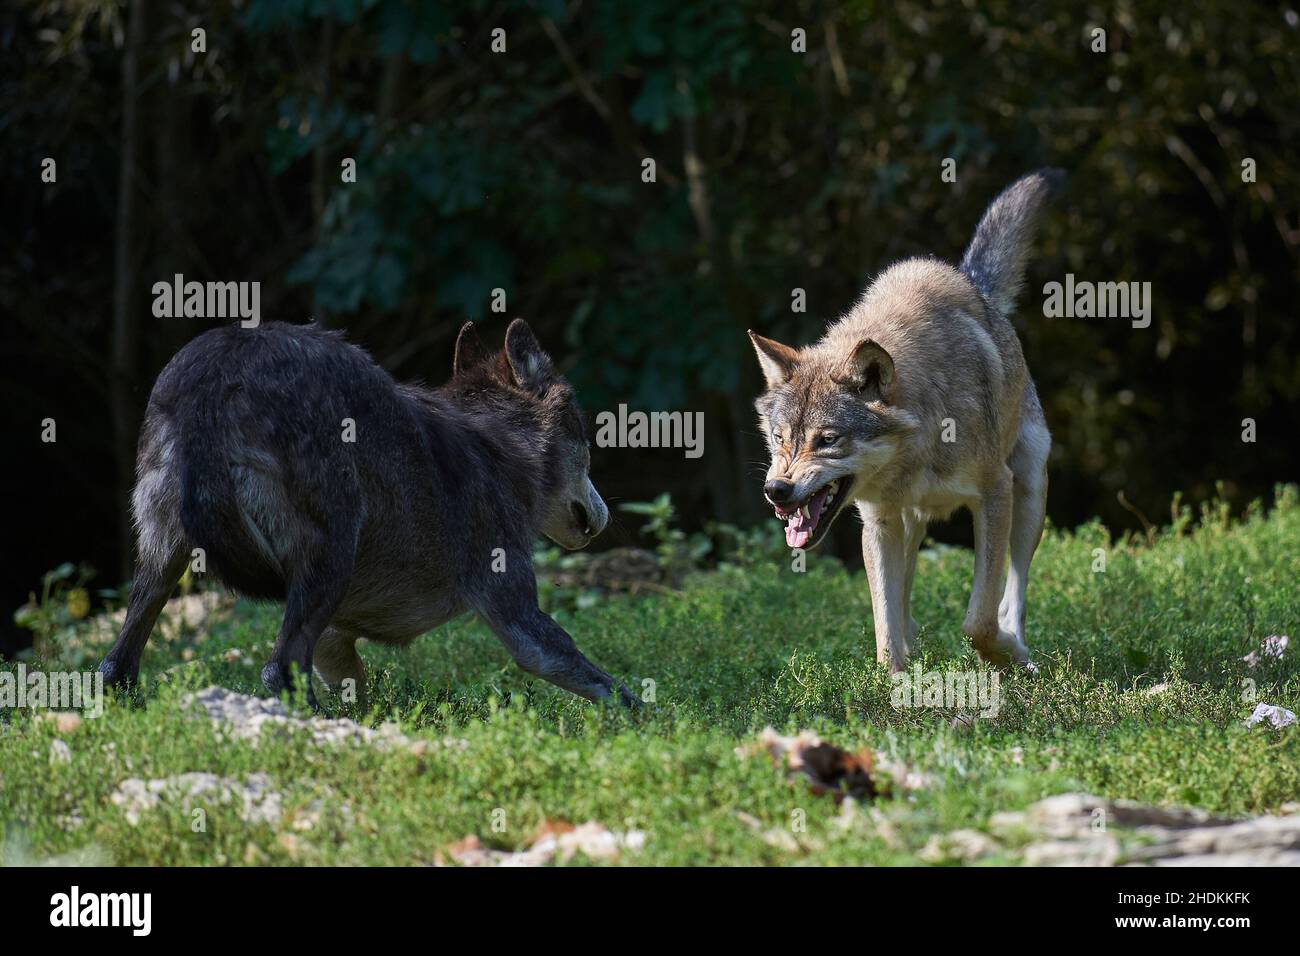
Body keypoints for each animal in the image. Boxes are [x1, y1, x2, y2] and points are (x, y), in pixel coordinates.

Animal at [98, 318, 637, 708]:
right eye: (585, 434)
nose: (604, 515)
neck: (499, 447)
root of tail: (214, 378)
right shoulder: (519, 618)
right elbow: (613, 689)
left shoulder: (336, 637)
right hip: (331, 555)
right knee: (277, 669)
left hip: (162, 567)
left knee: (114, 668)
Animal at [748, 169, 1063, 672]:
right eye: (779, 440)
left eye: (828, 439)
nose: (775, 490)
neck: (923, 434)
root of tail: (974, 280)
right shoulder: (877, 522)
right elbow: (884, 632)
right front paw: (897, 683)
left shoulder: (994, 493)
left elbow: (978, 620)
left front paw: (1002, 653)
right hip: (908, 523)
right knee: (904, 602)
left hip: (1029, 491)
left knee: (1013, 594)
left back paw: (1019, 649)